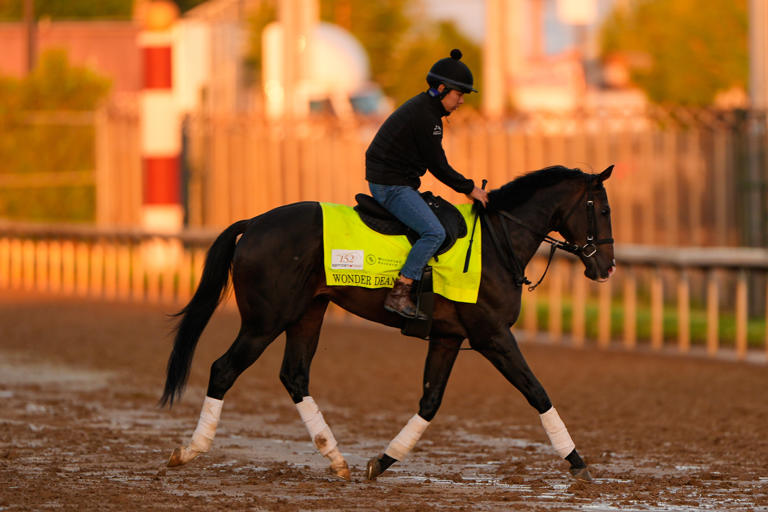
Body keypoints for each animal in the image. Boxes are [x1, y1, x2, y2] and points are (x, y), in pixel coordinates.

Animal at [160, 164, 615, 482]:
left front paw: (382, 461)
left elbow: (430, 402)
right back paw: (190, 450)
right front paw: (578, 463)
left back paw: (337, 459)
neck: (496, 242)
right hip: (264, 322)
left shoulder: (448, 338)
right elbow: (537, 392)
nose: (607, 266)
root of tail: (253, 223)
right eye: (602, 209)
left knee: (295, 376)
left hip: (307, 315)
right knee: (224, 370)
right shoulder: (493, 336)